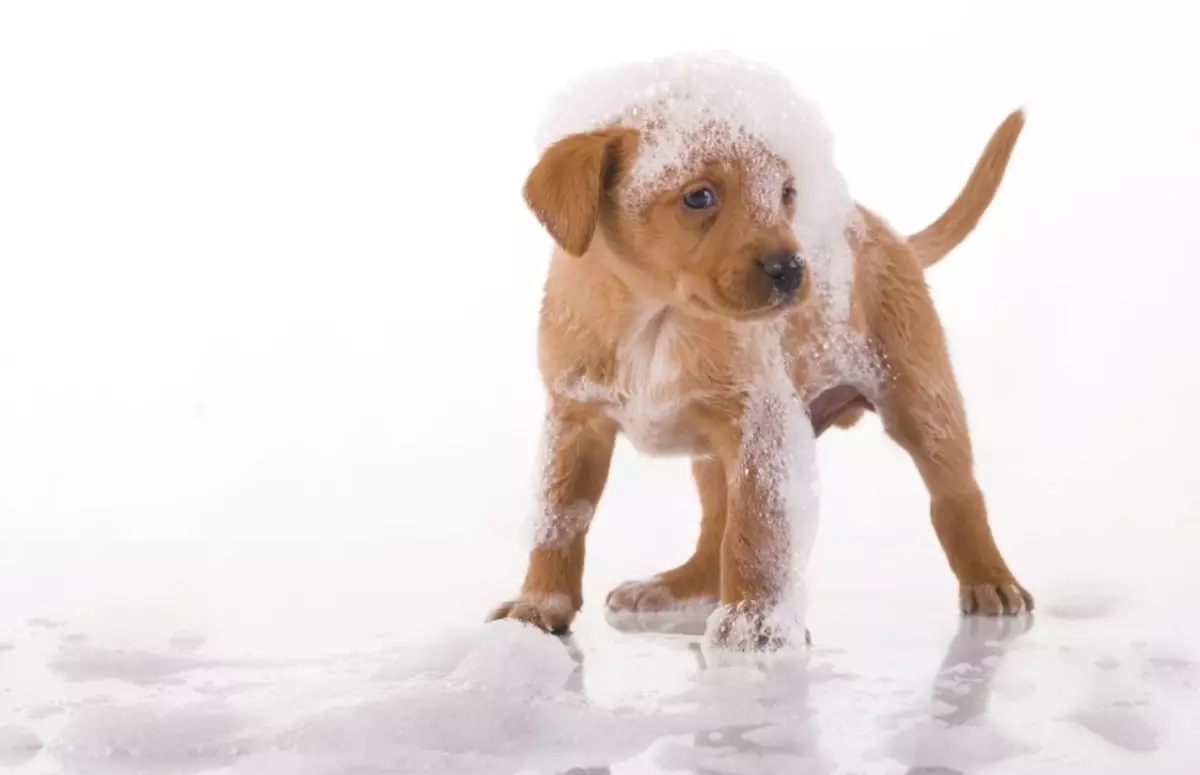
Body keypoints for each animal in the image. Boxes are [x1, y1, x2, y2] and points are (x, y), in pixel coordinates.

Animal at [487, 51, 1032, 652]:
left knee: (957, 495)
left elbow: (753, 530)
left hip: (922, 401)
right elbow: (558, 519)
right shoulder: (574, 422)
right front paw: (540, 604)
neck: (656, 321)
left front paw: (754, 621)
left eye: (786, 194)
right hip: (712, 456)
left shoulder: (758, 426)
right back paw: (677, 586)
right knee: (713, 528)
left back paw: (989, 579)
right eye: (699, 196)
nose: (792, 269)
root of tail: (883, 230)